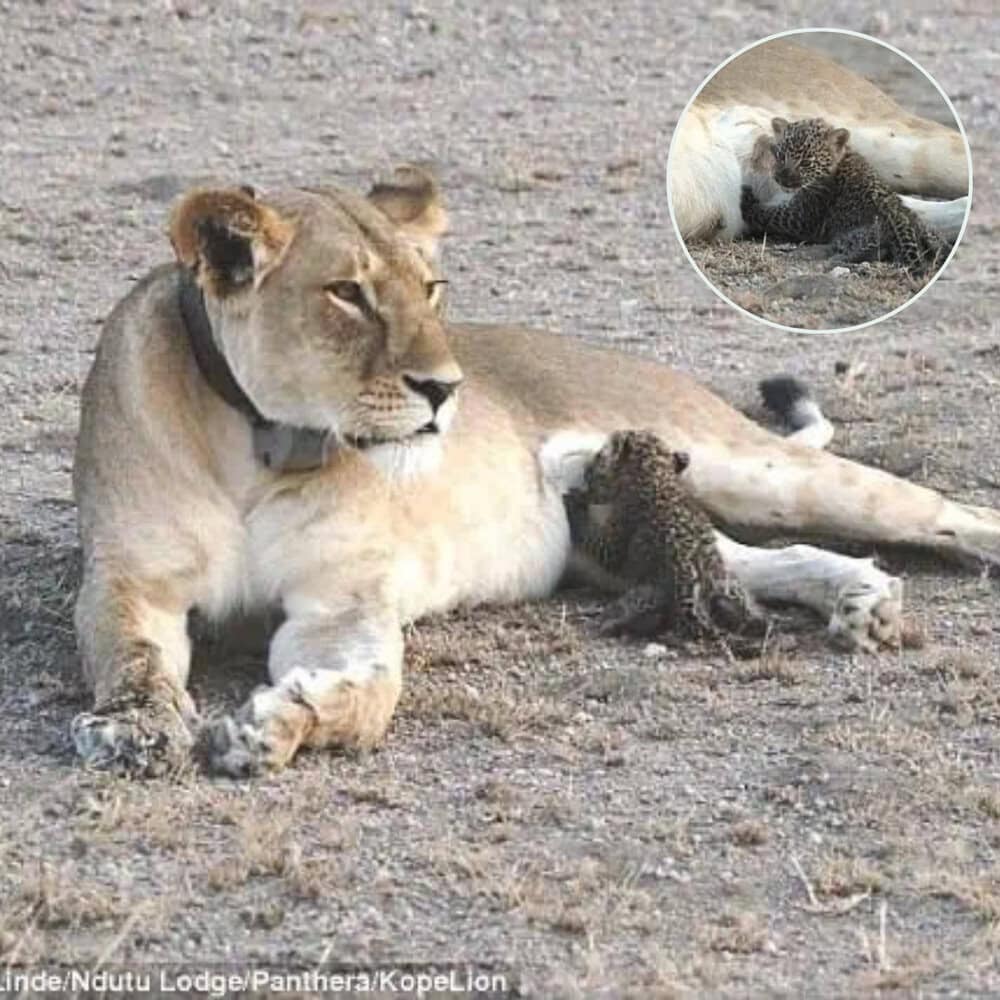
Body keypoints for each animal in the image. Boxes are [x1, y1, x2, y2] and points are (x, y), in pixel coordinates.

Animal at [70, 163, 1000, 778]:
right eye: (348, 294)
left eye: (431, 288)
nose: (446, 389)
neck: (262, 447)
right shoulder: (128, 579)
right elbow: (132, 655)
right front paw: (133, 728)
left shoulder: (343, 602)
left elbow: (372, 691)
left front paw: (280, 722)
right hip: (633, 532)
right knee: (757, 562)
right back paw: (861, 599)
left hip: (756, 469)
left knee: (928, 510)